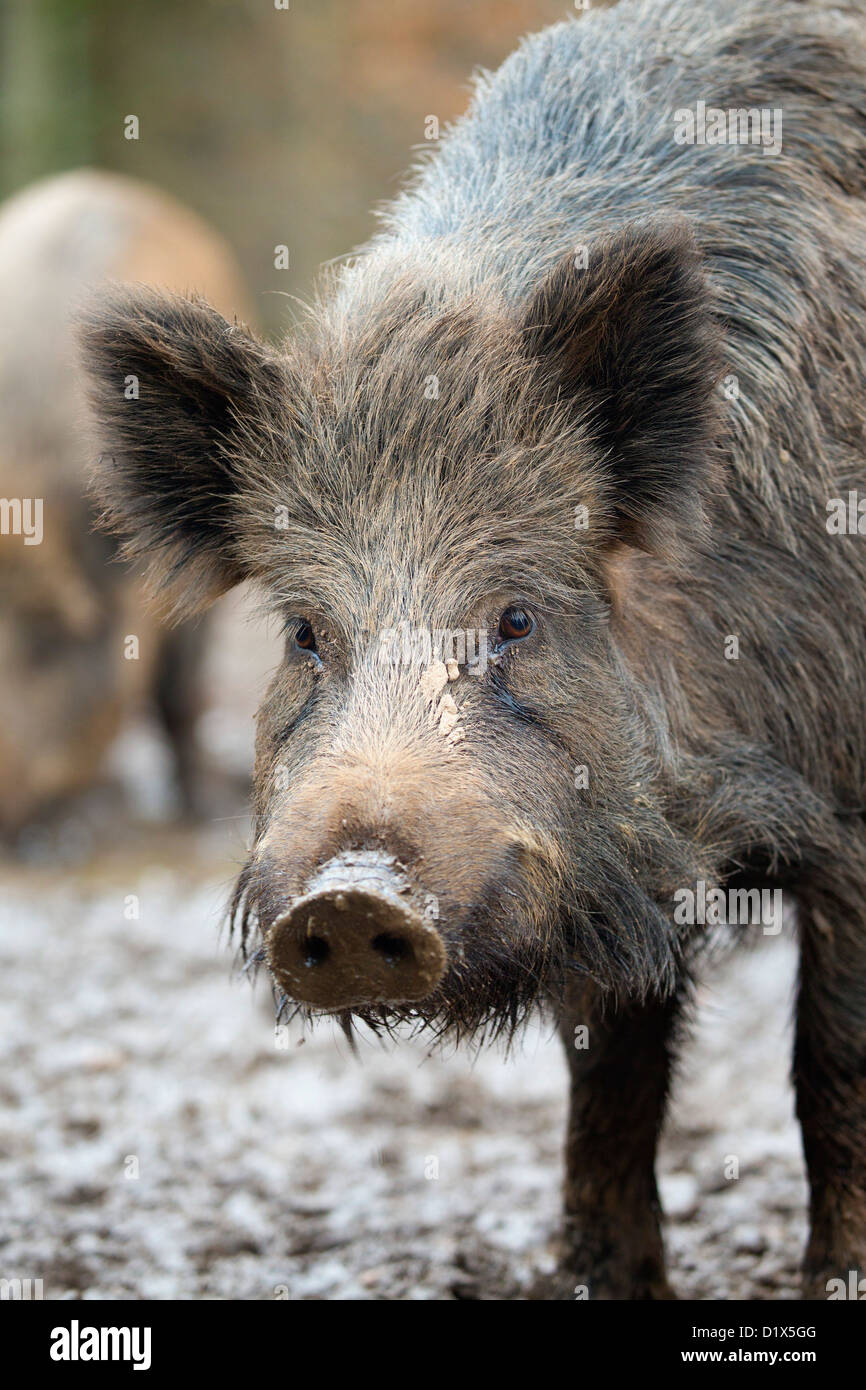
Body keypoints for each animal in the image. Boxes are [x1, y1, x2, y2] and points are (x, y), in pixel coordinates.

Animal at [81, 0, 866, 1298]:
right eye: (304, 630)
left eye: (514, 618)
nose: (350, 896)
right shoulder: (599, 869)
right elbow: (611, 1084)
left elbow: (830, 1073)